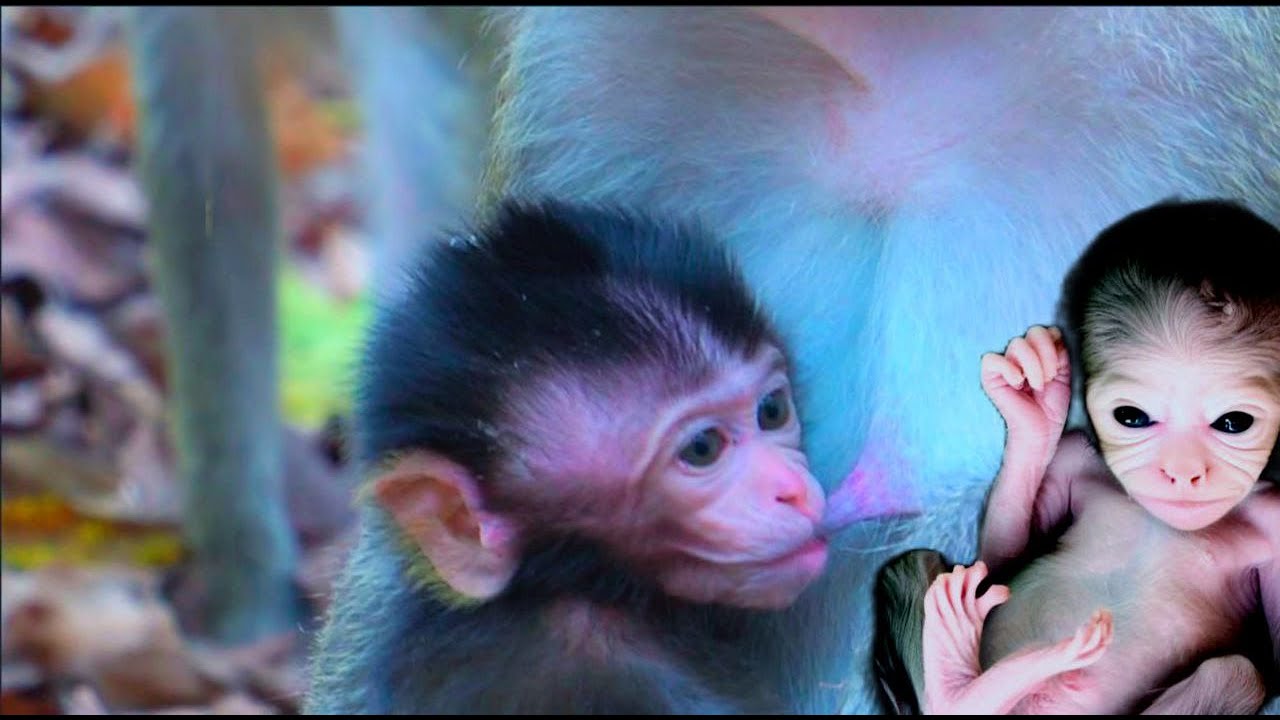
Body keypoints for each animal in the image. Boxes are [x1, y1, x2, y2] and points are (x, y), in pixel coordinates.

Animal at [874, 199, 1280, 715]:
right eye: (1131, 417)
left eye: (1233, 423)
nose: (1181, 472)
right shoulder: (1072, 456)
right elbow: (996, 564)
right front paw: (1035, 406)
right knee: (907, 568)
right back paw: (959, 676)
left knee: (1236, 673)